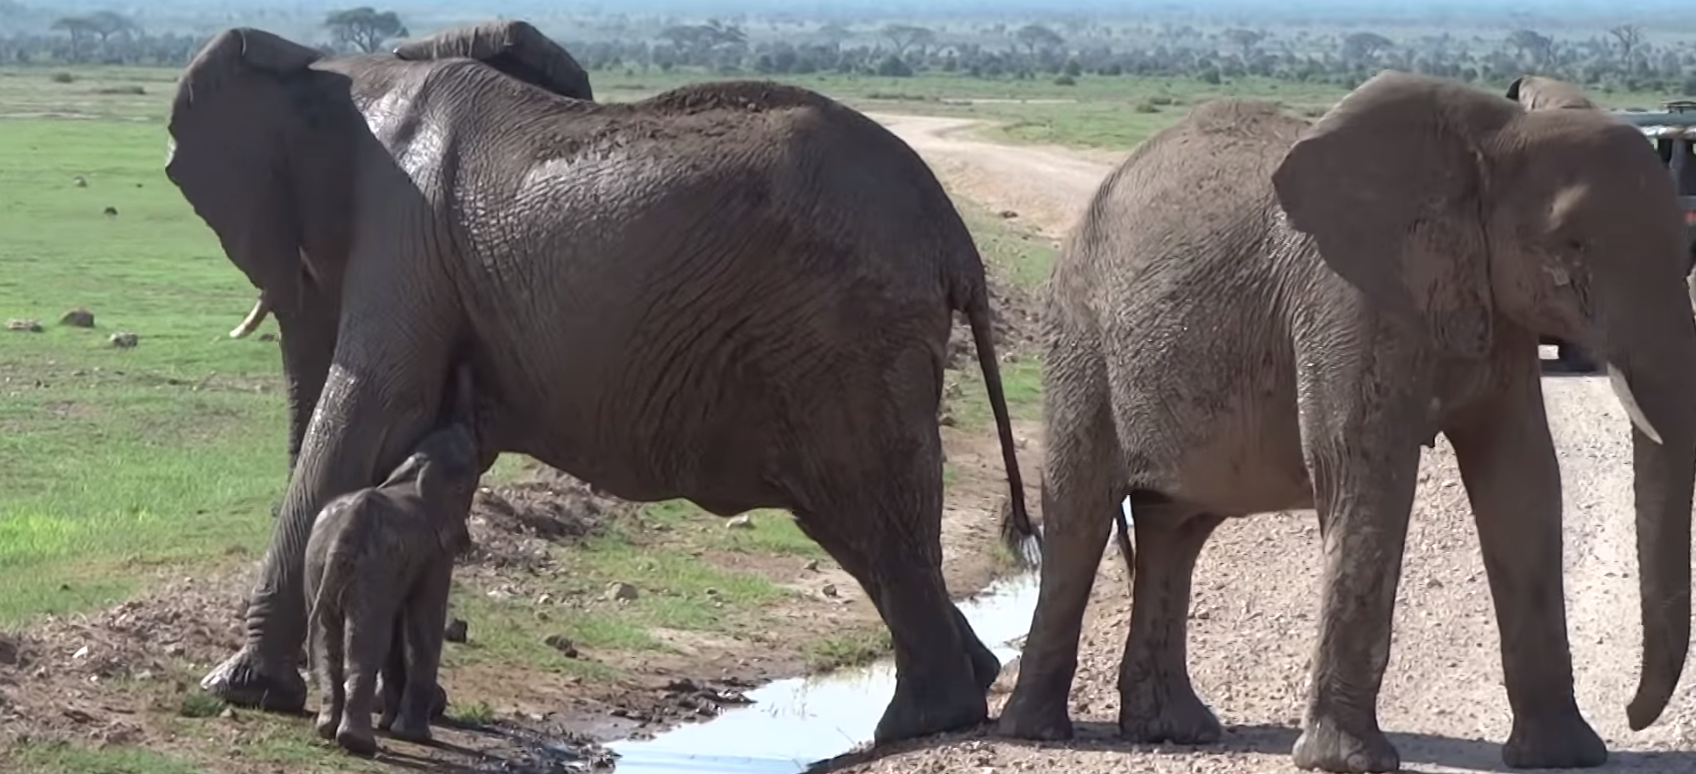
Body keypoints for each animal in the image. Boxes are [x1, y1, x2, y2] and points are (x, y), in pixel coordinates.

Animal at [305, 362, 481, 755]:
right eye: (471, 480)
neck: (415, 471)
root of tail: (342, 537)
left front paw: (392, 725)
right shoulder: (434, 549)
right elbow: (423, 620)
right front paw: (413, 736)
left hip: (317, 568)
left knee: (329, 640)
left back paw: (327, 730)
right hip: (367, 571)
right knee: (366, 639)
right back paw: (357, 742)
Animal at [995, 70, 1695, 773]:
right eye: (1571, 247)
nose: (1634, 716)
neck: (1491, 134)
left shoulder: (1493, 308)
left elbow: (1521, 479)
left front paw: (1564, 756)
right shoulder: (1345, 297)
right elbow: (1364, 472)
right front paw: (1347, 761)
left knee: (1176, 526)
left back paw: (1173, 729)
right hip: (1079, 338)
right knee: (1081, 513)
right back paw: (1038, 731)